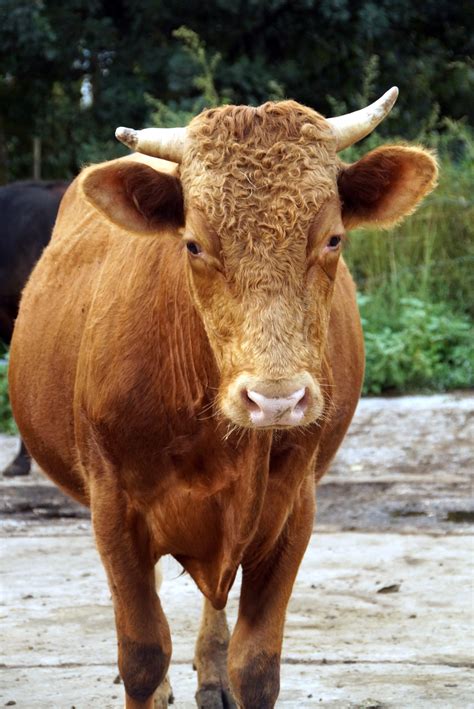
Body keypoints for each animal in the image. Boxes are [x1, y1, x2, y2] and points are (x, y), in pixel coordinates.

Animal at [9, 89, 437, 708]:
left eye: (333, 237)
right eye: (193, 243)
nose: (275, 400)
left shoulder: (293, 510)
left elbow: (256, 666)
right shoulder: (112, 508)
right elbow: (142, 654)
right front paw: (152, 681)